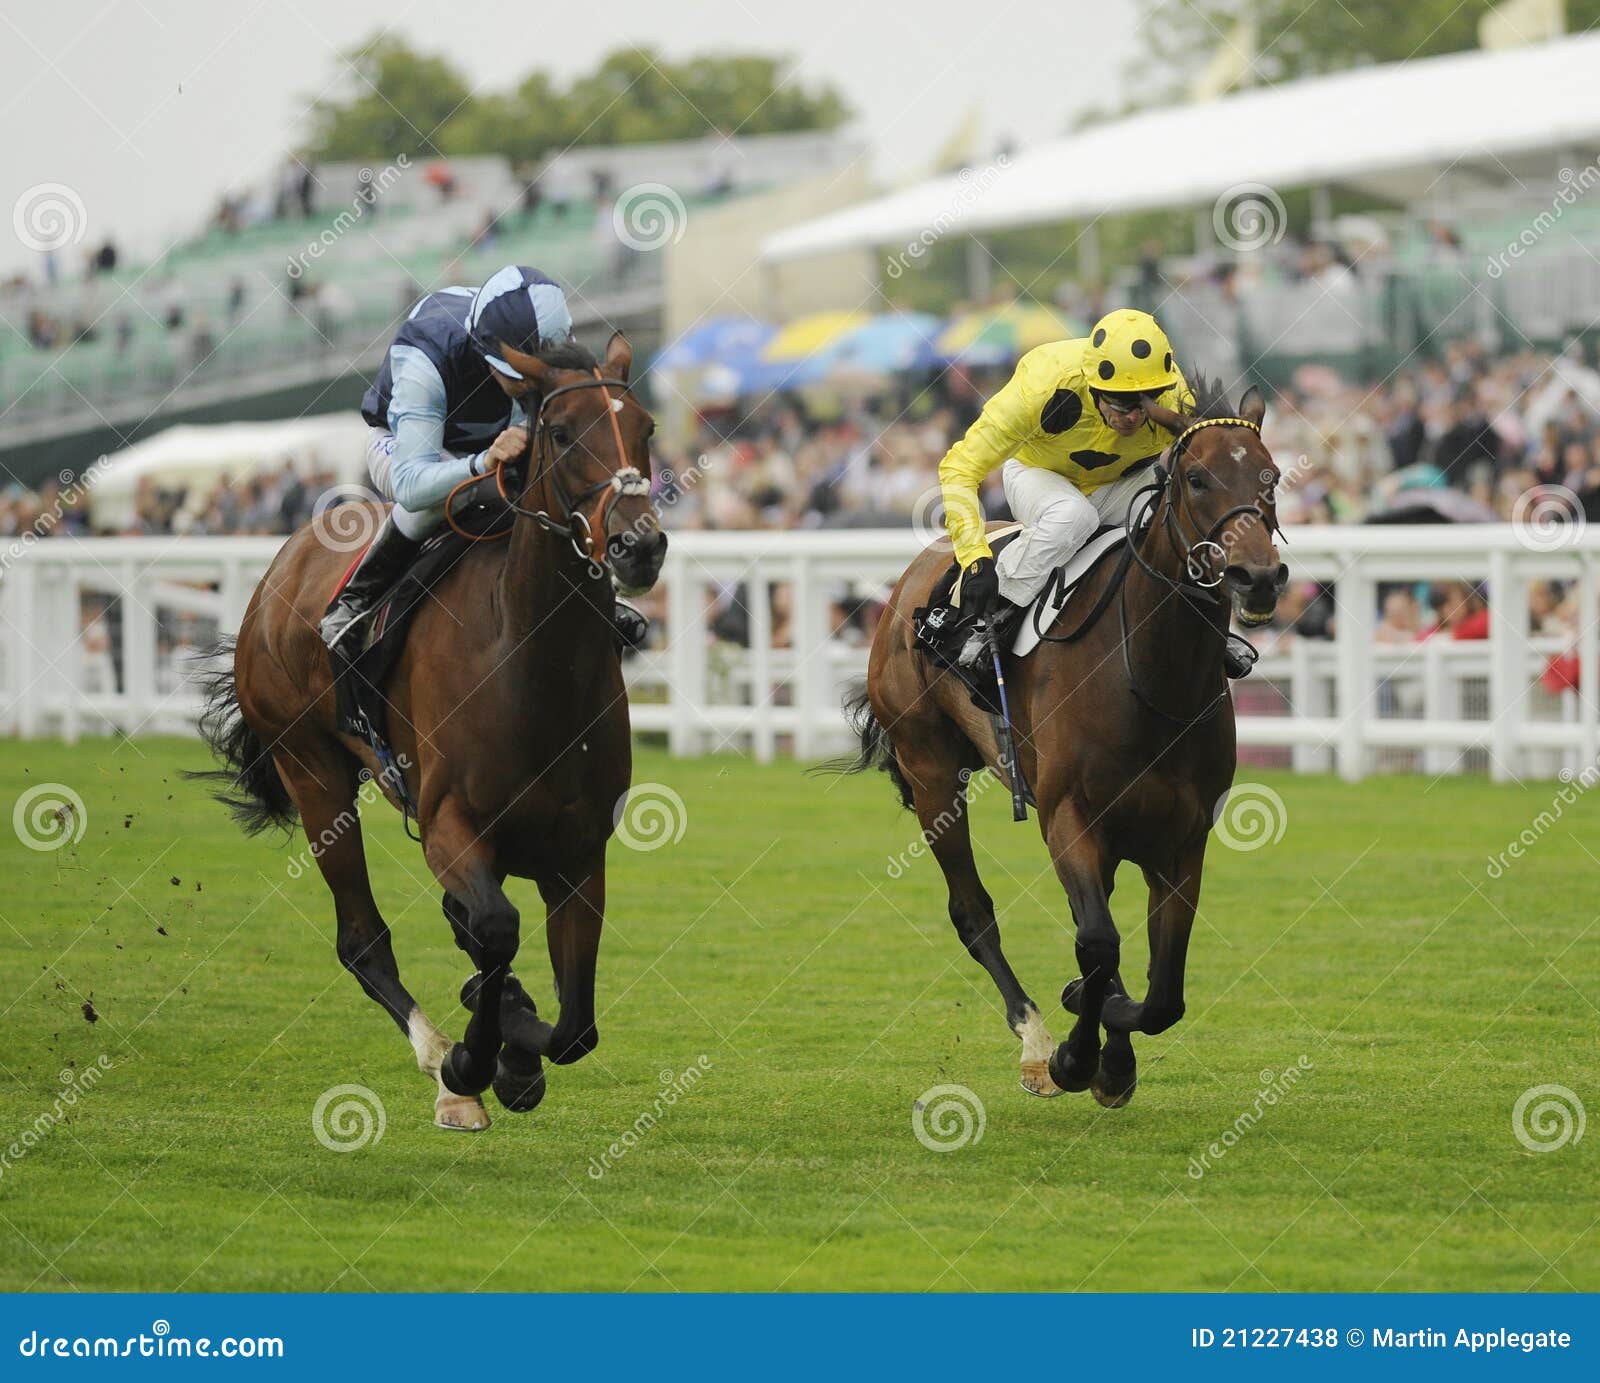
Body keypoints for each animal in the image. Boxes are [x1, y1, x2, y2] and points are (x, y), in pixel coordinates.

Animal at [192, 332, 668, 1132]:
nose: (639, 546)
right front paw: (475, 1061)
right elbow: (497, 928)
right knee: (364, 939)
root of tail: (278, 570)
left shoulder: (578, 852)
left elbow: (576, 1026)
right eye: (562, 433)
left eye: (647, 428)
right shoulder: (450, 823)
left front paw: (515, 1049)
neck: (530, 663)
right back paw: (443, 1063)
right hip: (312, 771)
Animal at [841, 376, 1286, 1108]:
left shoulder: (1181, 839)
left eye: (1271, 477)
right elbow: (1098, 942)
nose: (1260, 577)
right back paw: (1035, 1041)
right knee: (973, 911)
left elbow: (1163, 990)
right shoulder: (1069, 817)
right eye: (1196, 478)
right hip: (931, 769)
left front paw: (1111, 1049)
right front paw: (1076, 1056)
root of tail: (919, 569)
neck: (1152, 678)